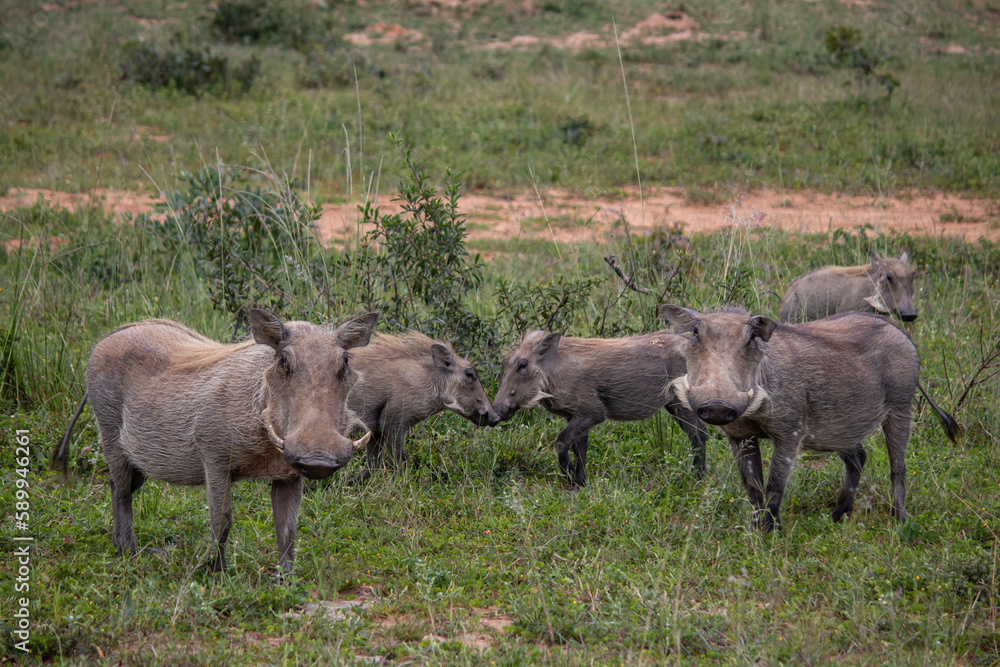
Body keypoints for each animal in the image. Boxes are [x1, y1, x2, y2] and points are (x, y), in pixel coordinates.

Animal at [52, 309, 377, 574]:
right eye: (283, 360)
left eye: (345, 361)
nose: (319, 460)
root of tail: (107, 339)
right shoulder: (215, 459)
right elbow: (222, 520)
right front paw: (217, 574)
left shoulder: (288, 475)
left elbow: (287, 528)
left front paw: (287, 581)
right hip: (110, 435)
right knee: (121, 494)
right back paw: (130, 555)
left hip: (140, 461)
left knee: (116, 487)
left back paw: (121, 547)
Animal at [346, 331, 500, 482]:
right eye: (469, 374)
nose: (496, 418)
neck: (430, 380)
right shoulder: (393, 423)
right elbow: (396, 463)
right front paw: (398, 484)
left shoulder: (375, 429)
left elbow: (372, 466)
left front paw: (351, 482)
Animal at [492, 329, 708, 487]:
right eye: (505, 362)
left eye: (522, 364)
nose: (494, 413)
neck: (552, 373)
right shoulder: (576, 416)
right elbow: (579, 449)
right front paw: (581, 483)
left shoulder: (592, 412)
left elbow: (562, 442)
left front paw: (570, 476)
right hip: (674, 404)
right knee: (700, 434)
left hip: (683, 401)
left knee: (698, 435)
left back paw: (696, 479)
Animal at [659, 304, 959, 532]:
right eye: (695, 333)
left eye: (751, 337)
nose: (718, 406)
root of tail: (898, 330)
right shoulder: (739, 436)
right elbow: (753, 487)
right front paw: (756, 531)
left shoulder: (790, 433)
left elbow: (775, 485)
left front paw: (771, 534)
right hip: (840, 427)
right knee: (858, 458)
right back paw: (837, 516)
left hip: (900, 408)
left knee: (898, 468)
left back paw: (899, 523)